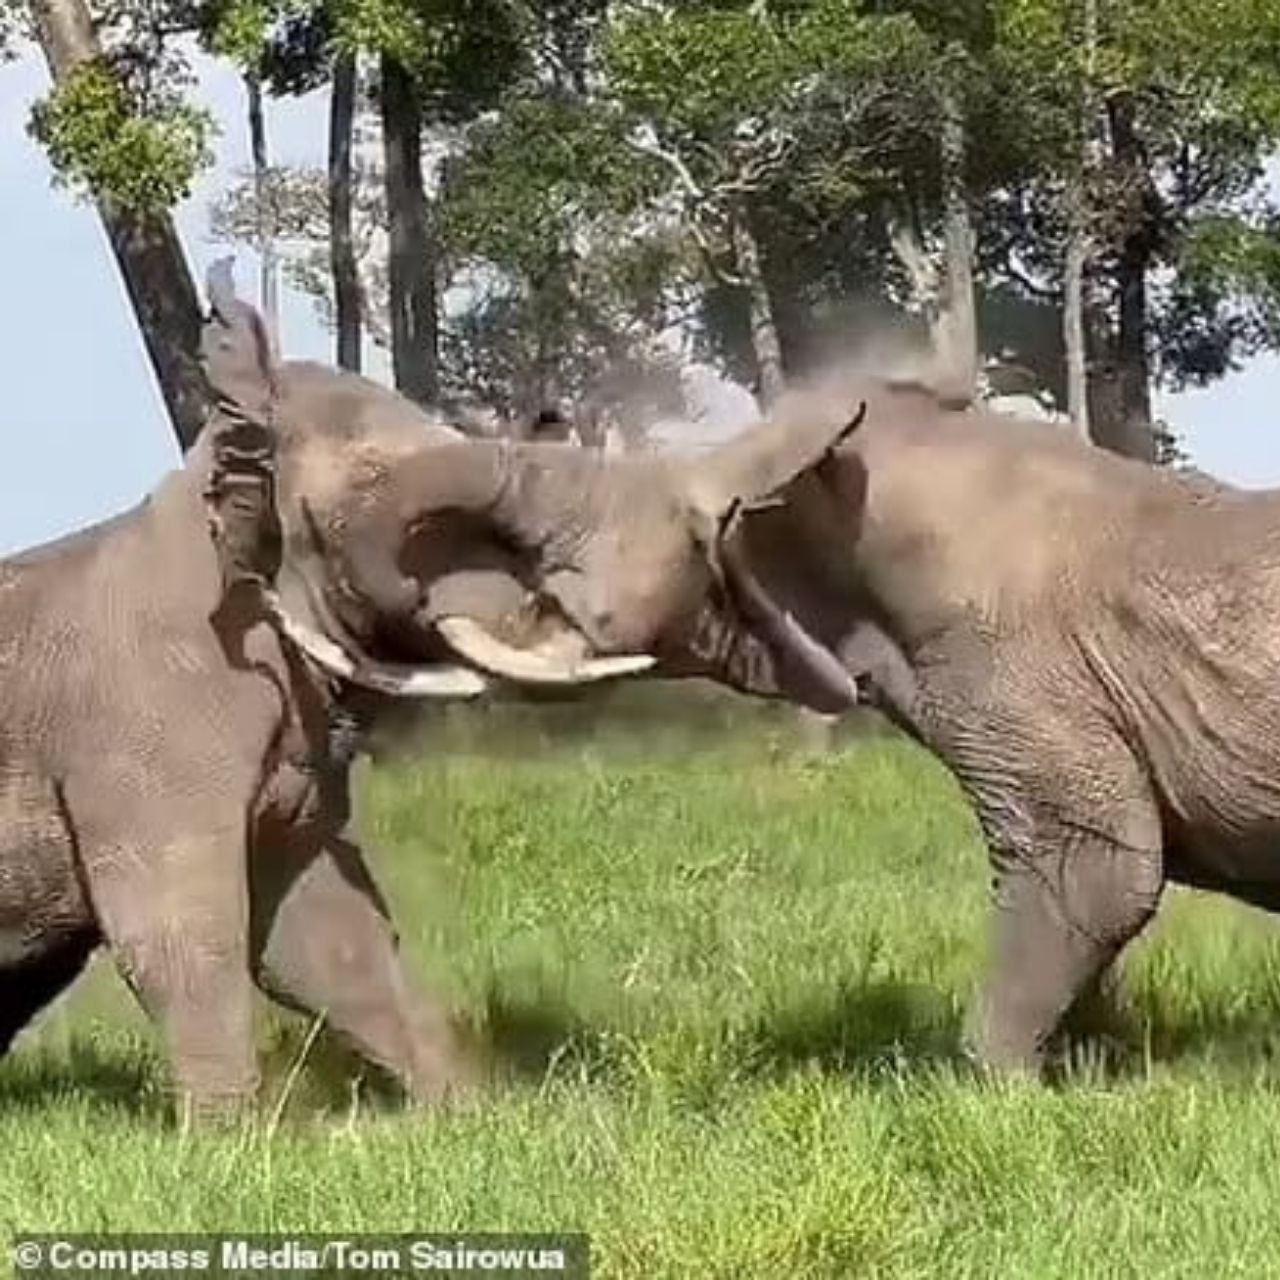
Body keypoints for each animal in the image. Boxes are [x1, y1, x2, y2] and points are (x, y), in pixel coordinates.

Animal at [0, 262, 672, 1122]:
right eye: (373, 480)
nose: (554, 408)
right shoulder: (141, 729)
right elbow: (179, 925)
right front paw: (231, 1137)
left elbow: (319, 927)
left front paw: (476, 1115)